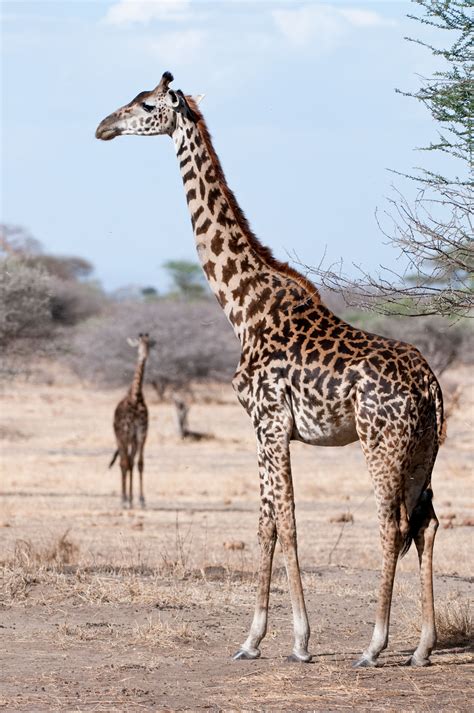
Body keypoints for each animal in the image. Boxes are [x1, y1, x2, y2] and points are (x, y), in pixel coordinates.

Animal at [96, 73, 444, 667]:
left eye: (144, 104)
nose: (103, 127)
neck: (242, 308)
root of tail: (430, 385)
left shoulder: (270, 421)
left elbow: (284, 520)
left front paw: (294, 641)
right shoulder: (265, 427)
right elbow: (268, 523)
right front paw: (257, 639)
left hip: (381, 442)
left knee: (390, 522)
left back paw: (375, 645)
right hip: (423, 448)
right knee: (426, 521)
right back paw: (421, 647)